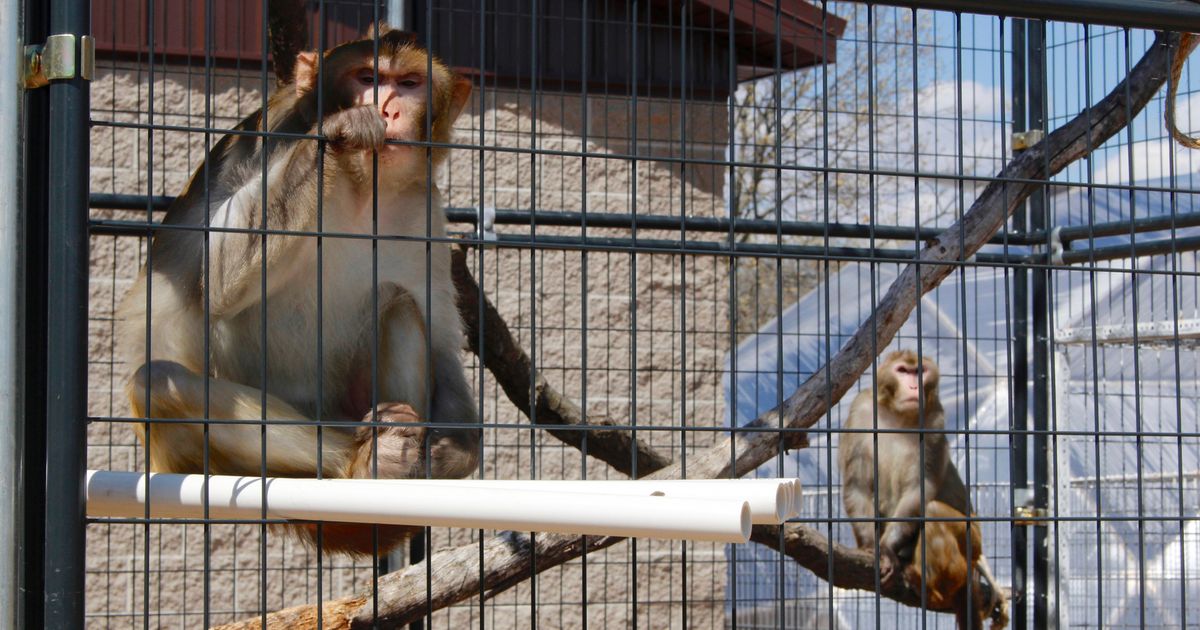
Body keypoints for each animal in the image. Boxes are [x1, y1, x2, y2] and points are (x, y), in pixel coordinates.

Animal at [115, 25, 480, 556]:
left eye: (410, 83)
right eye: (367, 77)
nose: (388, 109)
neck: (361, 187)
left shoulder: (424, 210)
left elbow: (440, 337)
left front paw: (455, 452)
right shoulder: (266, 138)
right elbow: (214, 278)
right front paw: (342, 132)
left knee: (400, 307)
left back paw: (396, 462)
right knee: (160, 383)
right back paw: (364, 463)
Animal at [839, 350, 1008, 630]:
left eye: (920, 371)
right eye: (903, 371)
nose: (914, 386)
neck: (898, 414)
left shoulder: (934, 419)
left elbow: (920, 488)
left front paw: (886, 549)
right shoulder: (860, 411)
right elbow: (858, 485)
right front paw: (871, 547)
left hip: (972, 542)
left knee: (934, 511)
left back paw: (931, 586)